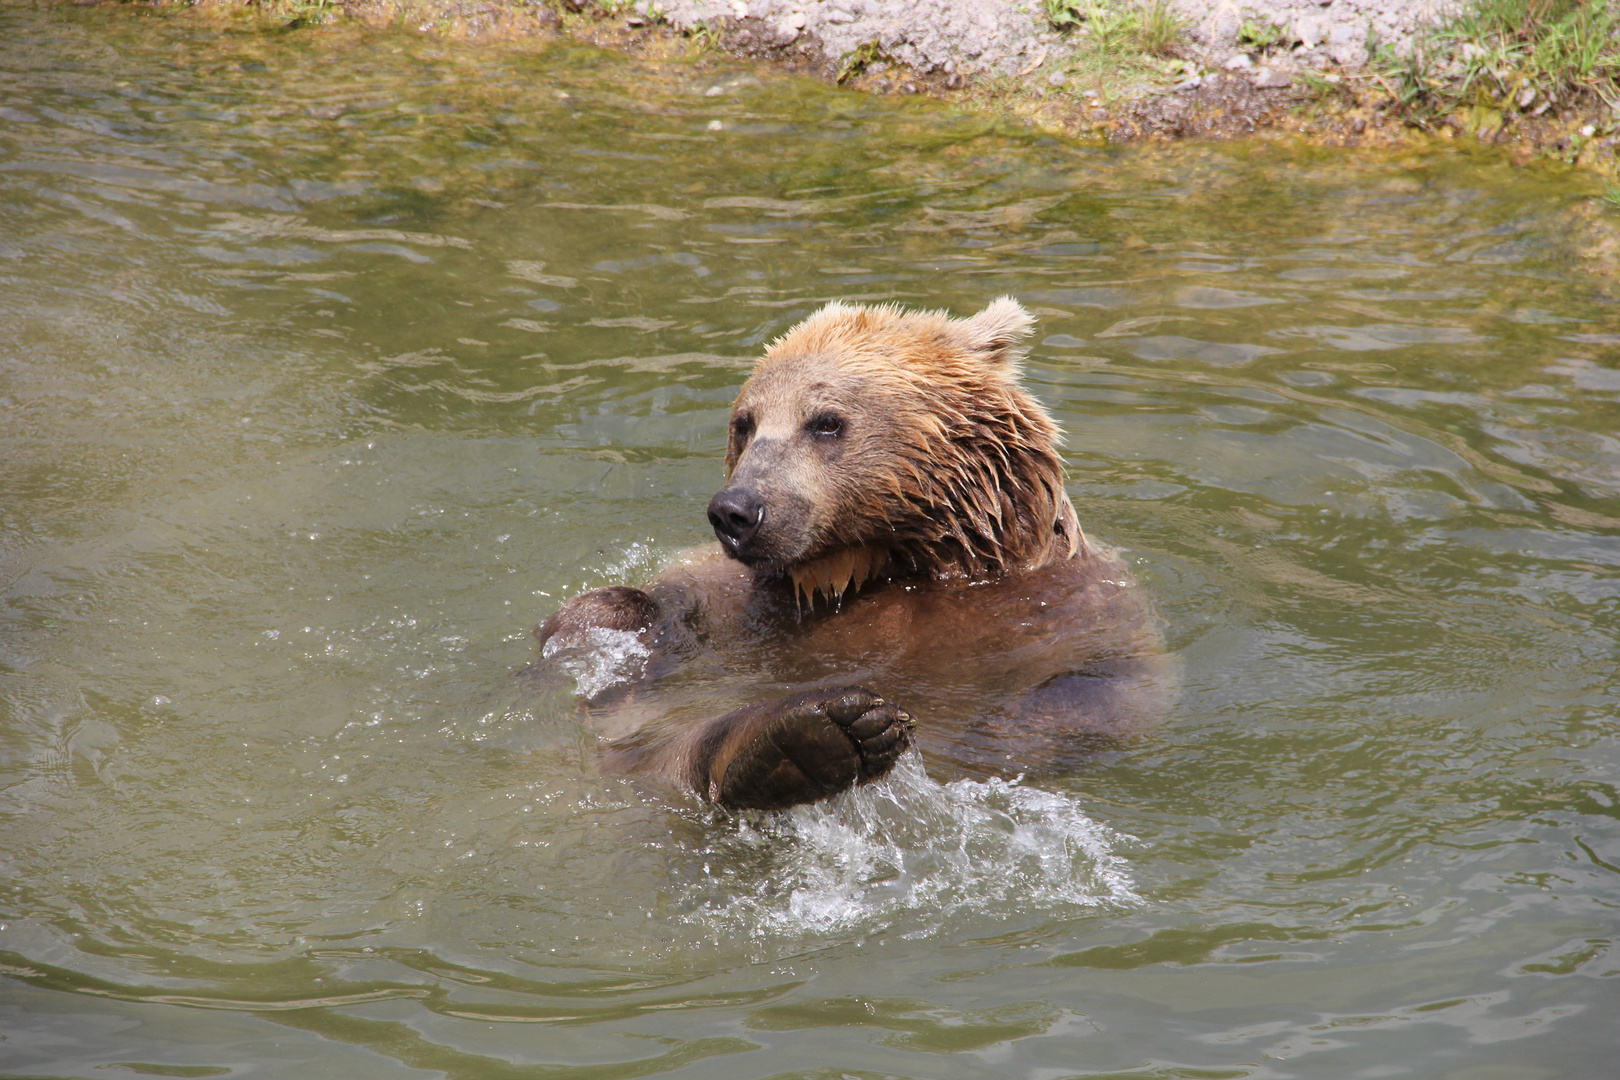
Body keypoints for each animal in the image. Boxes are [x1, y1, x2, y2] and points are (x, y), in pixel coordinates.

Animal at [541, 296, 1166, 809]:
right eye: (745, 422)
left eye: (825, 422)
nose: (736, 512)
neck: (891, 562)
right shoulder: (738, 600)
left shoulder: (1060, 604)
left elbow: (1101, 687)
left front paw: (988, 734)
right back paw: (805, 740)